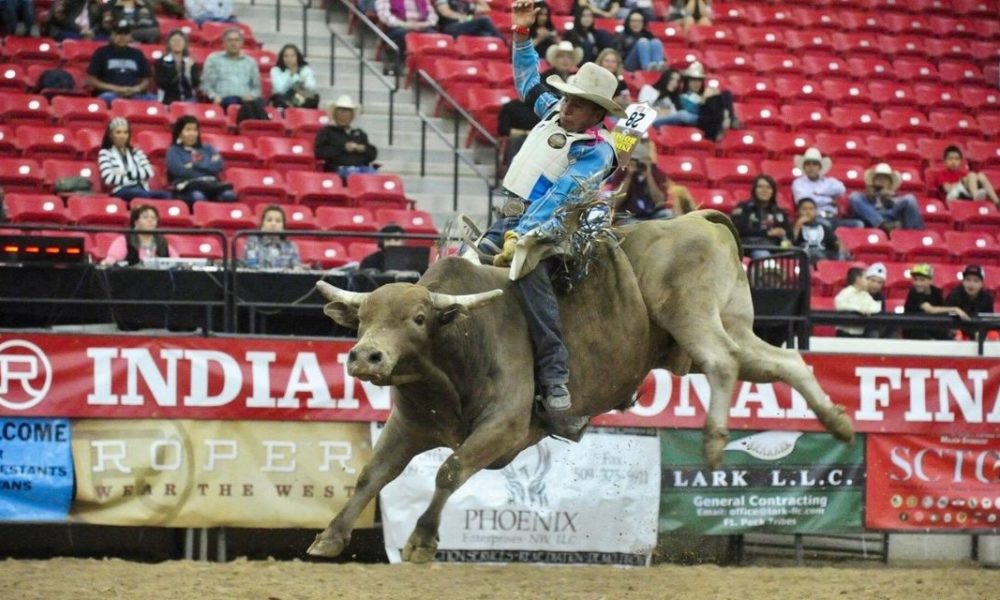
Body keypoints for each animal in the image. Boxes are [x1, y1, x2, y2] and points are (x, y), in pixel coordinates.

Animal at [308, 210, 853, 563]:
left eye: (418, 318)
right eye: (362, 319)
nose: (367, 356)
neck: (458, 345)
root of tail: (698, 220)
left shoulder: (504, 429)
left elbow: (450, 470)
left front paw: (422, 541)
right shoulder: (408, 425)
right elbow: (371, 475)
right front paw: (330, 536)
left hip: (691, 313)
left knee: (724, 361)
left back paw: (717, 443)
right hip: (733, 323)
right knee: (785, 362)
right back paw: (839, 423)